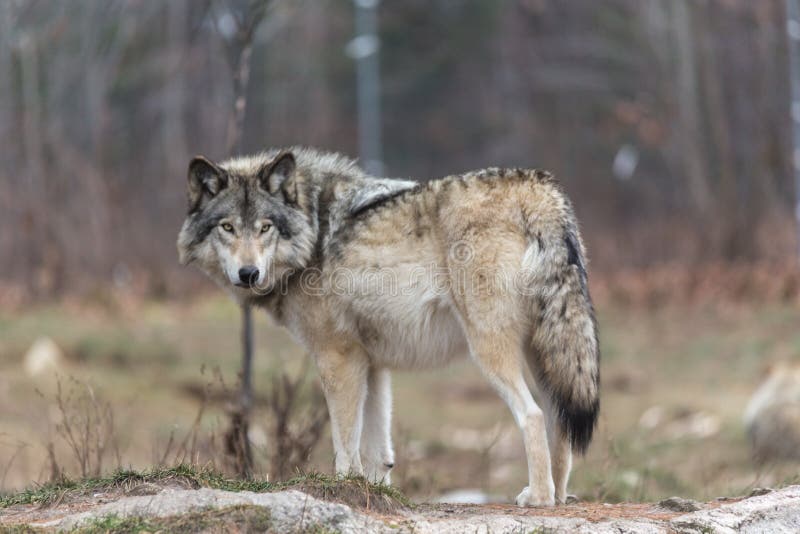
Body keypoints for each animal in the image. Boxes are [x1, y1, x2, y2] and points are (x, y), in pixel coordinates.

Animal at [177, 147, 600, 506]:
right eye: (227, 227)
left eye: (265, 227)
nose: (248, 273)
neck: (313, 230)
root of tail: (539, 190)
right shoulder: (373, 364)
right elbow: (377, 451)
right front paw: (375, 492)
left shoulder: (337, 358)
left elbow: (345, 443)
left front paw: (343, 487)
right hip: (545, 353)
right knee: (560, 421)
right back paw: (558, 495)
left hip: (490, 351)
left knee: (533, 416)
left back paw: (539, 498)